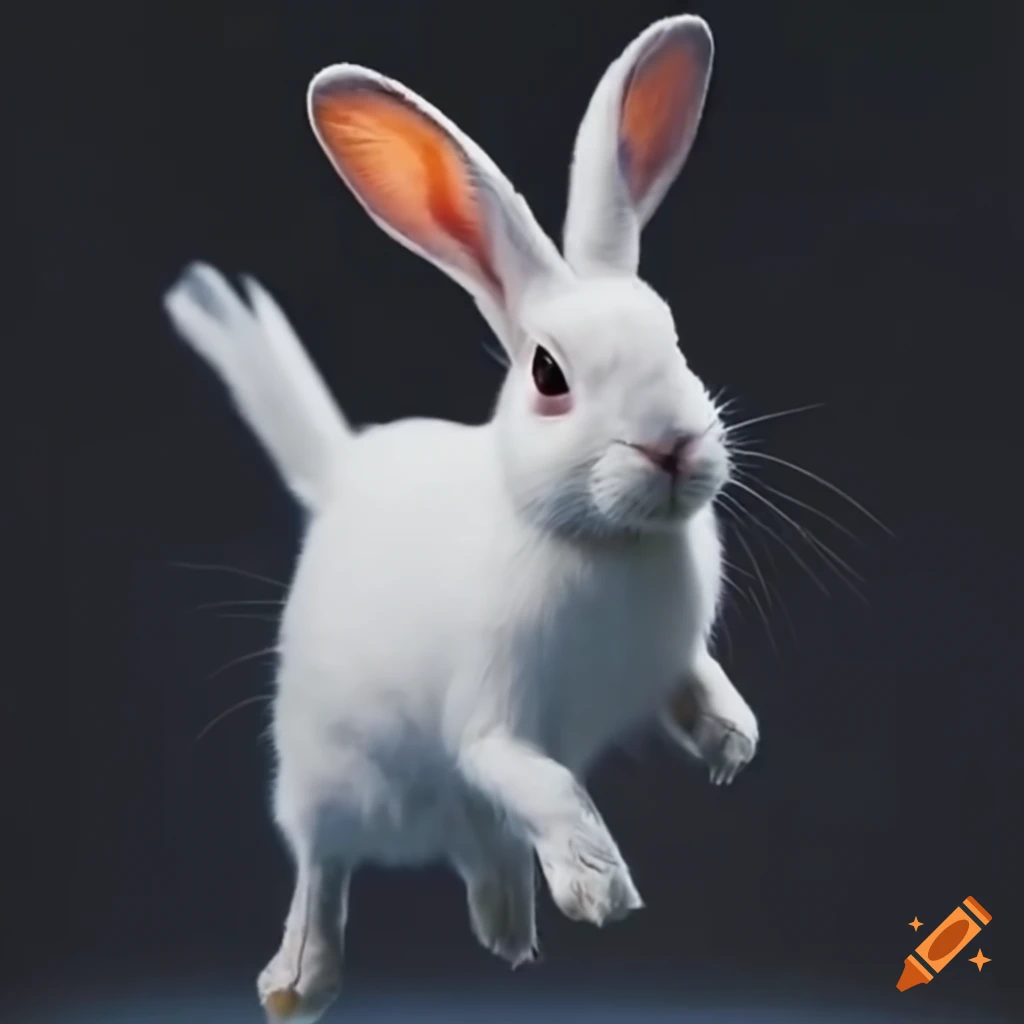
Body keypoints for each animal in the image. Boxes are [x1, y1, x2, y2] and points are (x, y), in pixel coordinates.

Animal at [164, 14, 759, 1023]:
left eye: (674, 337)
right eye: (549, 375)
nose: (673, 446)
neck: (605, 541)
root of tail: (339, 467)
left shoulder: (675, 658)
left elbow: (699, 685)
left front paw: (732, 744)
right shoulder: (494, 723)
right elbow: (544, 782)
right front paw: (601, 887)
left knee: (479, 840)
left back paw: (508, 927)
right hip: (323, 768)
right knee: (323, 862)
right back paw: (300, 982)